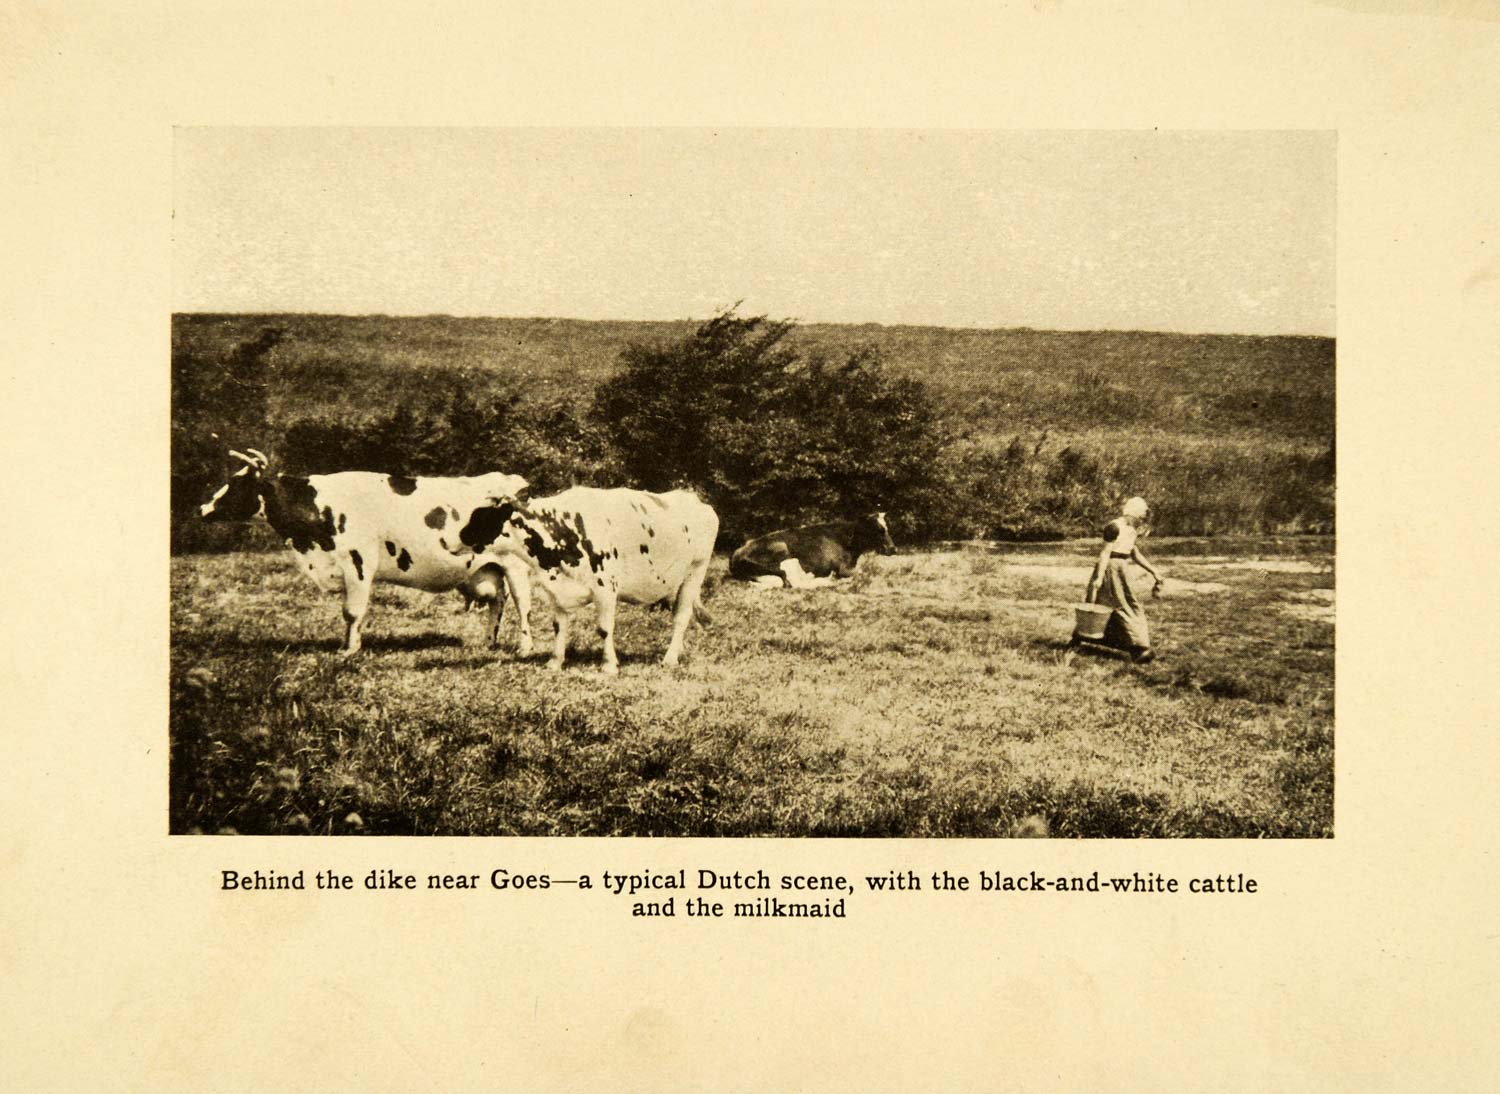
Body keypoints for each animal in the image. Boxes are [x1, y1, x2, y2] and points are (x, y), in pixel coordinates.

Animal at [198, 449, 534, 656]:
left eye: (236, 483)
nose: (202, 508)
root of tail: (511, 482)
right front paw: (351, 644)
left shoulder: (358, 563)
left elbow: (352, 611)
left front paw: (349, 649)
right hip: (486, 569)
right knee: (497, 601)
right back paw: (488, 641)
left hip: (515, 564)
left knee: (522, 605)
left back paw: (525, 647)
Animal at [456, 486, 718, 675]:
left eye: (485, 517)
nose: (456, 537)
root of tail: (694, 499)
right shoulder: (556, 590)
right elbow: (558, 626)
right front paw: (554, 662)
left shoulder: (607, 588)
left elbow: (604, 629)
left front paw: (609, 665)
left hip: (695, 571)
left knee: (681, 617)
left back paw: (670, 658)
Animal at [728, 512, 896, 584]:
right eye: (878, 530)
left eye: (887, 528)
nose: (893, 549)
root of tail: (736, 553)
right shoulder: (842, 568)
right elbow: (863, 573)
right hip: (781, 547)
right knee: (781, 572)